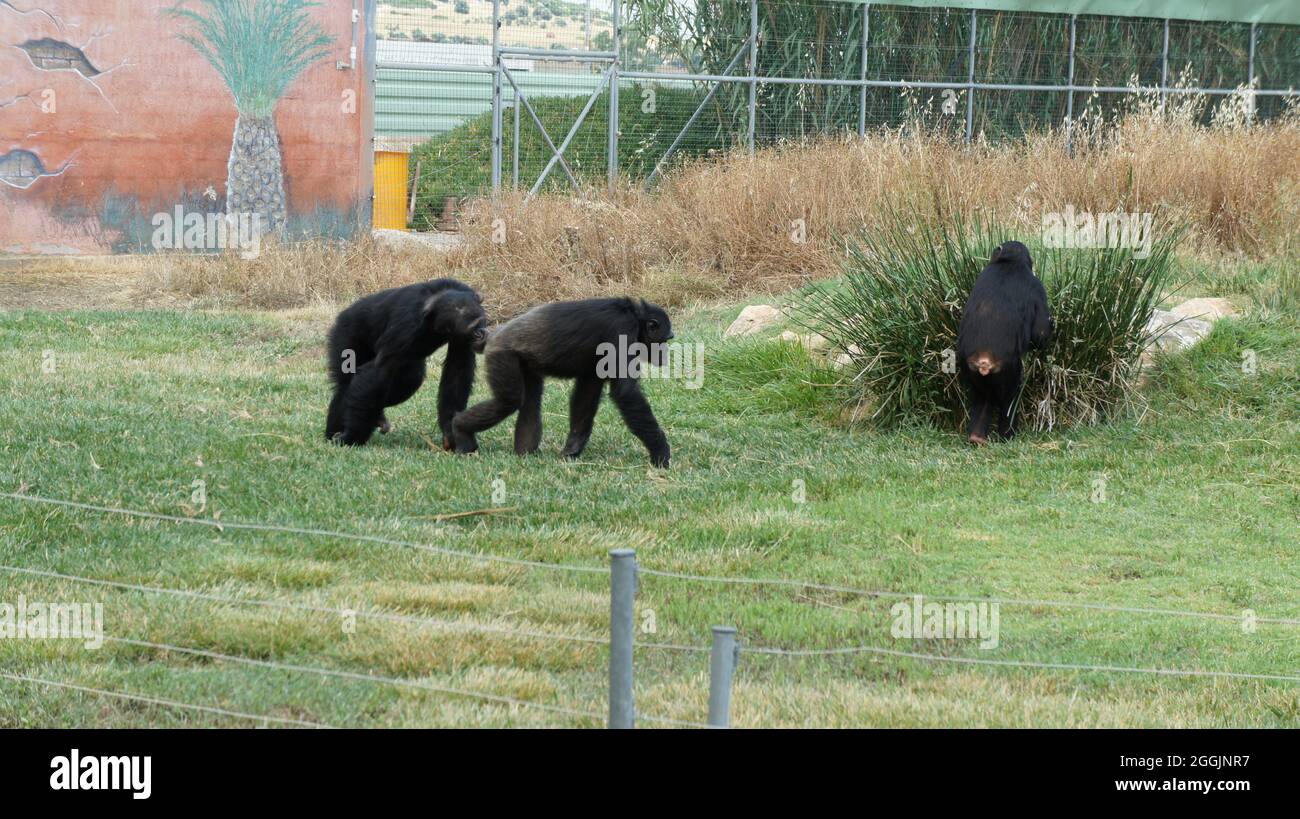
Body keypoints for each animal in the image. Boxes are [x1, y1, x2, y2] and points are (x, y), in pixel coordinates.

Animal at [325, 279, 488, 447]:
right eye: (474, 327)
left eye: (480, 322)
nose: (481, 333)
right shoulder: (406, 325)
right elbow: (380, 370)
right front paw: (353, 437)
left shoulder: (460, 336)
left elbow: (458, 370)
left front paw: (452, 434)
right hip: (346, 334)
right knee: (345, 386)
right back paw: (334, 433)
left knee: (411, 378)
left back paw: (378, 417)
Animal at [451, 298, 674, 467]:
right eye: (665, 340)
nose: (665, 354)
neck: (636, 319)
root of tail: (491, 336)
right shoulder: (621, 333)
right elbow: (626, 392)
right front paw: (660, 452)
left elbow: (587, 394)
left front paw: (571, 449)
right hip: (502, 356)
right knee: (507, 401)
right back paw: (460, 429)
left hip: (525, 363)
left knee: (531, 403)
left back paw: (525, 452)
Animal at [956, 241, 1053, 444]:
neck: (1010, 263)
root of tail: (984, 360)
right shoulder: (1037, 287)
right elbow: (1040, 333)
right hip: (1007, 371)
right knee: (1010, 400)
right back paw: (1008, 435)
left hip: (971, 371)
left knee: (981, 399)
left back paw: (977, 437)